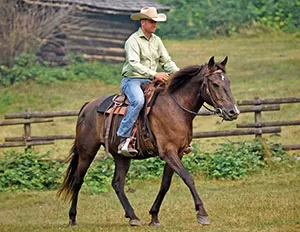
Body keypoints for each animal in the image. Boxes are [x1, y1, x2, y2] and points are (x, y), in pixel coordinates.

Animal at [56, 55, 239, 227]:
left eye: (228, 82)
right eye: (215, 84)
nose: (233, 112)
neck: (175, 108)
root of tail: (87, 107)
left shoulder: (178, 153)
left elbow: (165, 184)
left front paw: (154, 216)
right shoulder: (168, 152)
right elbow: (188, 178)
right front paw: (202, 213)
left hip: (122, 156)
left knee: (117, 184)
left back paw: (133, 217)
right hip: (87, 152)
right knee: (78, 181)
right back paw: (72, 218)